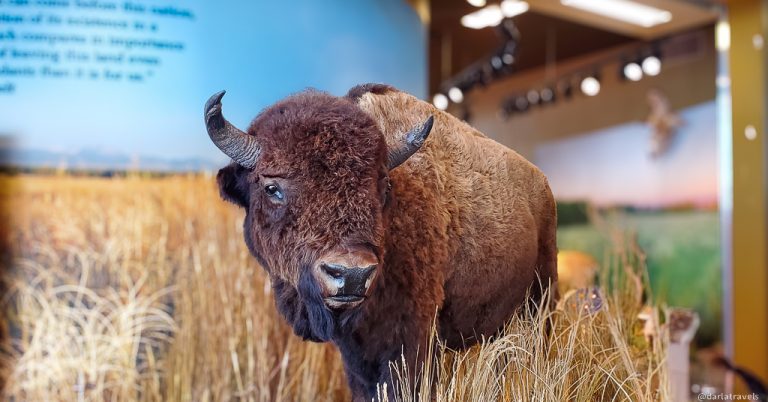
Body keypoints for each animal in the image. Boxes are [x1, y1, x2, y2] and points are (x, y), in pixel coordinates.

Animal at [205, 83, 557, 401]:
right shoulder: (357, 354)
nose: (351, 275)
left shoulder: (413, 341)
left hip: (540, 303)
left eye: (383, 186)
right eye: (272, 188)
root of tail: (542, 183)